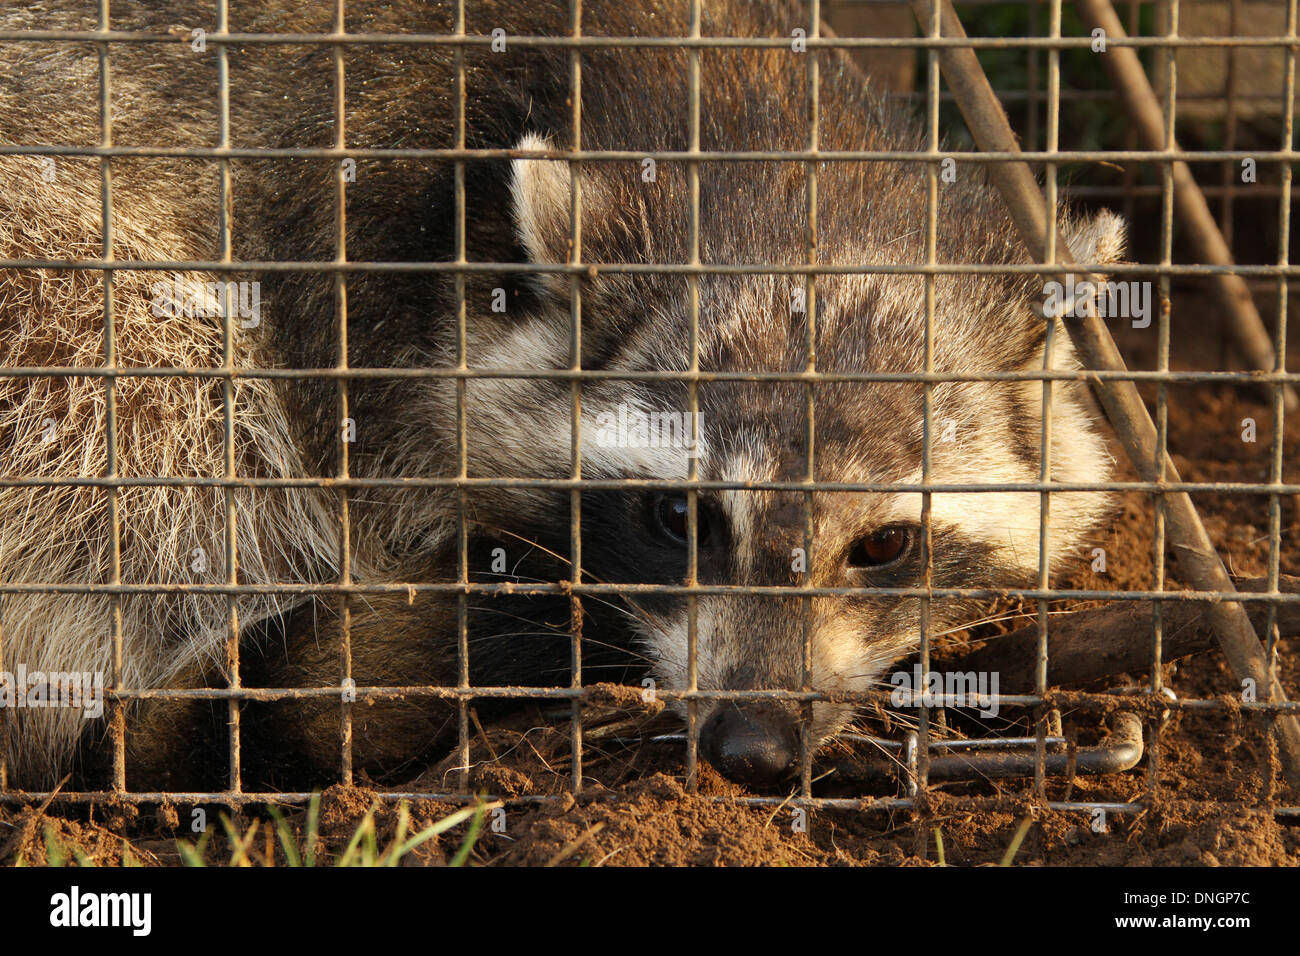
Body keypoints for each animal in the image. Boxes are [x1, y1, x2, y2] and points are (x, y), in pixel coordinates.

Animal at [0, 0, 1121, 790]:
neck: (775, 160)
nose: (751, 746)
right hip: (66, 288)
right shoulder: (357, 288)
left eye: (884, 544)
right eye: (681, 518)